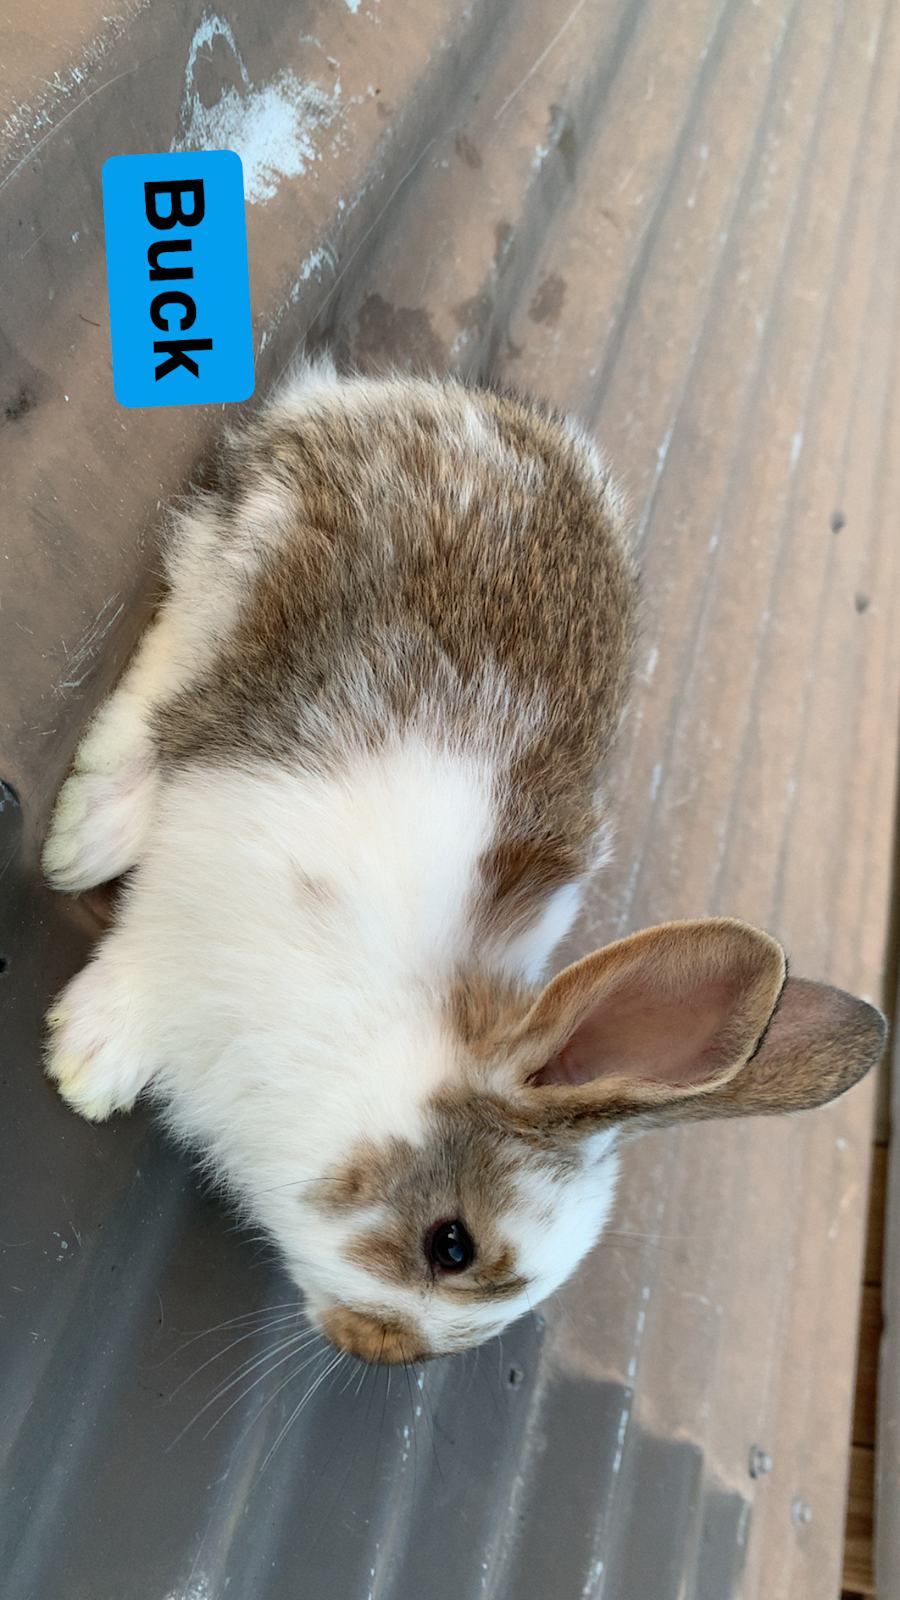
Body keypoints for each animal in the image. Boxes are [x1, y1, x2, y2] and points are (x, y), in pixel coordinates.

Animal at [42, 362, 886, 1365]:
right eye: (451, 1245)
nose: (378, 1350)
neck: (361, 1037)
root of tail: (453, 408)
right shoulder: (212, 880)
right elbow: (145, 960)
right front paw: (88, 1065)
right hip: (255, 555)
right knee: (180, 654)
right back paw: (91, 828)